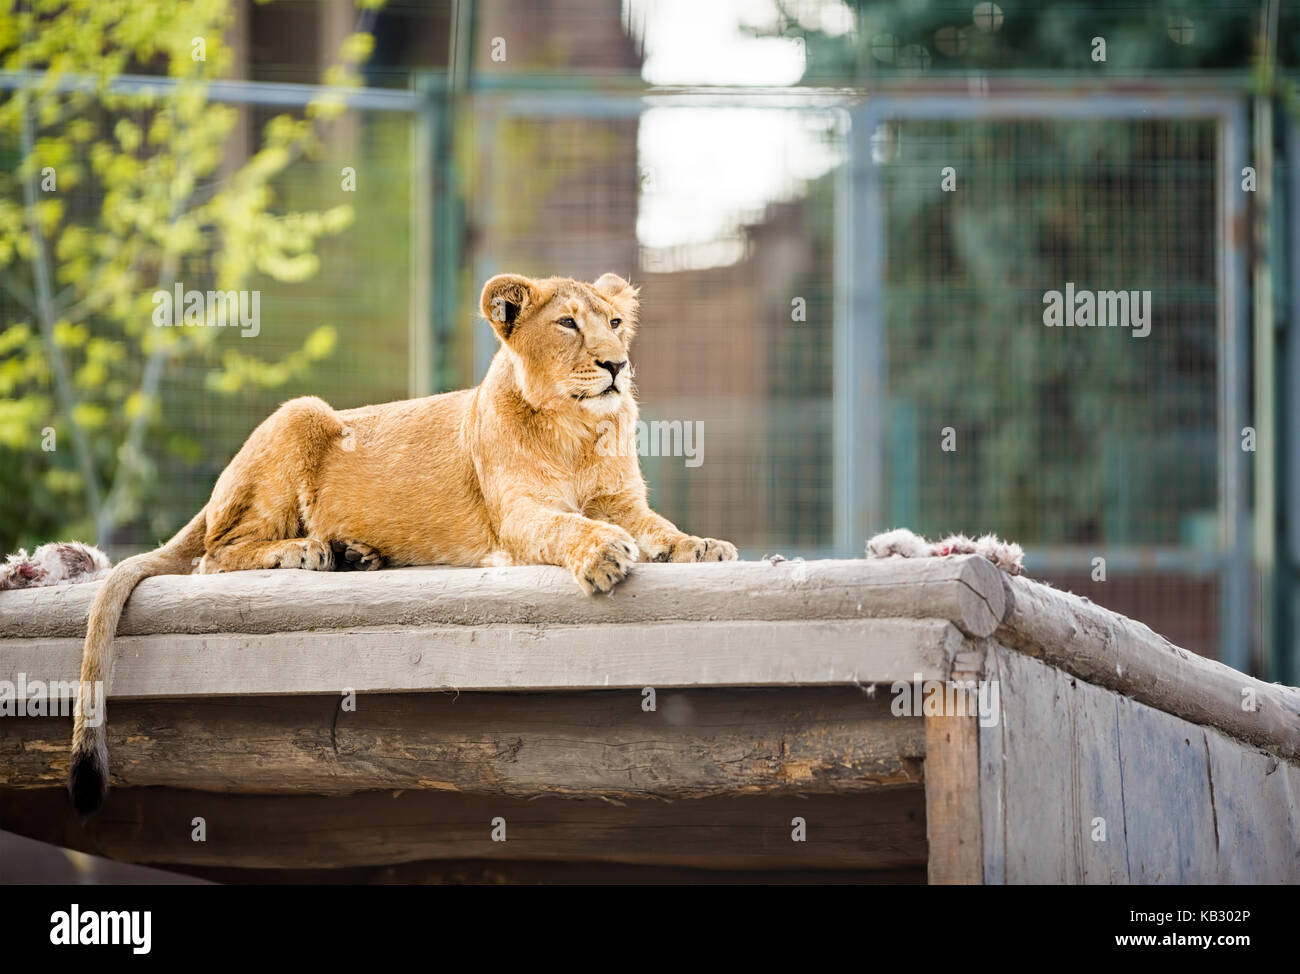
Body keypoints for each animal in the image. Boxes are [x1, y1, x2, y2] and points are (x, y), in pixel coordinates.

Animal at [67, 271, 737, 813]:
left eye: (616, 324)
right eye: (569, 323)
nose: (616, 365)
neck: (577, 427)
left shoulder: (624, 503)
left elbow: (662, 529)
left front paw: (704, 547)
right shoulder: (518, 516)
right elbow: (567, 526)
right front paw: (602, 555)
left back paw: (355, 554)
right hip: (300, 414)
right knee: (214, 555)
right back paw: (308, 551)